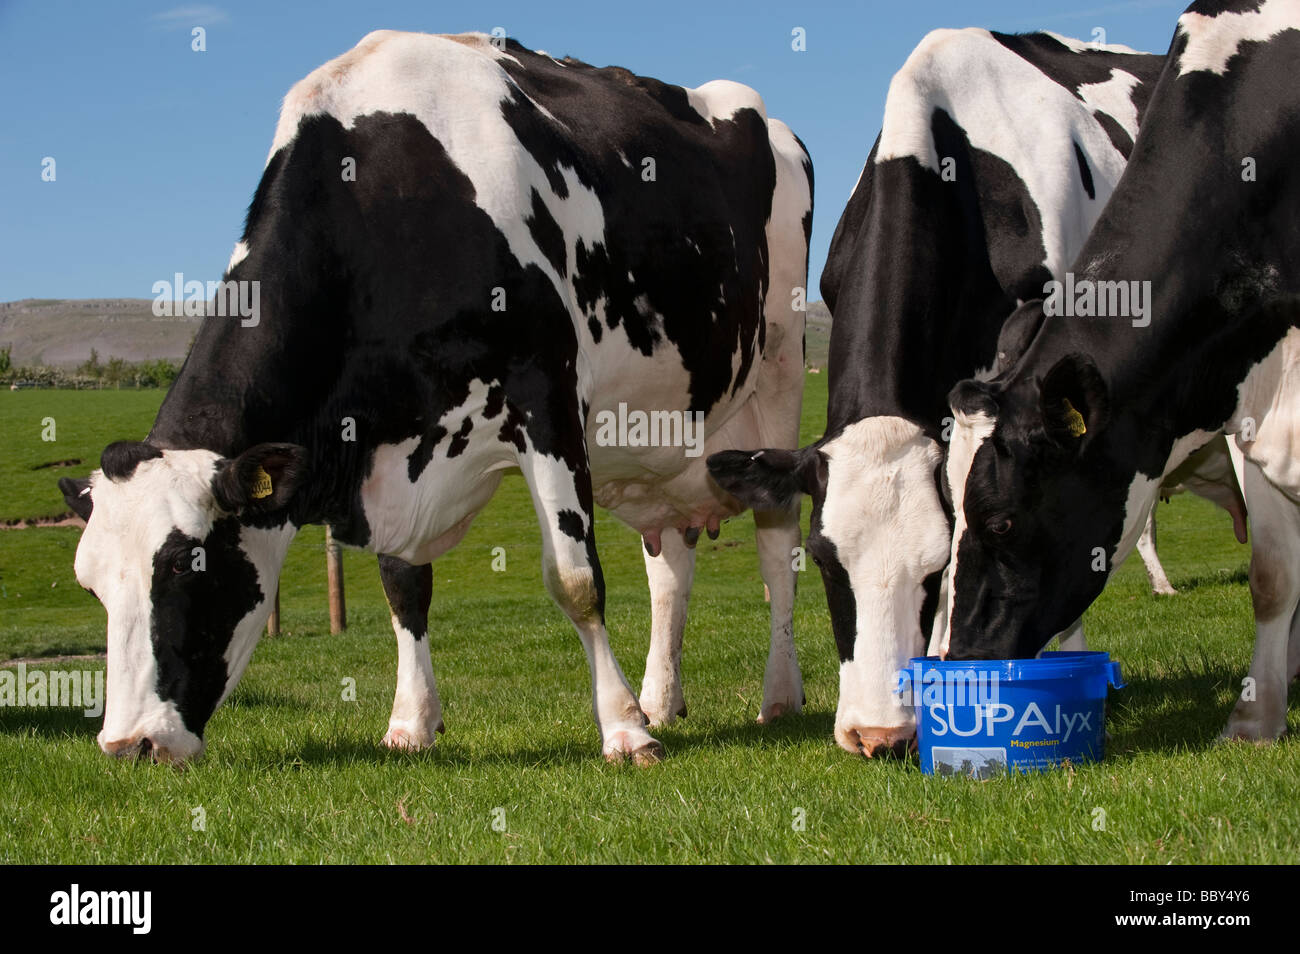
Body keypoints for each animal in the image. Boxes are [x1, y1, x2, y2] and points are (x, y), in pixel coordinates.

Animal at [56, 30, 813, 764]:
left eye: (187, 569)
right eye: (89, 585)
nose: (129, 744)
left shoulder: (546, 392)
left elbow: (575, 579)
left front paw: (624, 732)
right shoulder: (392, 446)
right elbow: (403, 586)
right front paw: (411, 722)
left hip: (778, 365)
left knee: (777, 546)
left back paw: (777, 696)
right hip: (666, 442)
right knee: (670, 565)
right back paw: (662, 696)